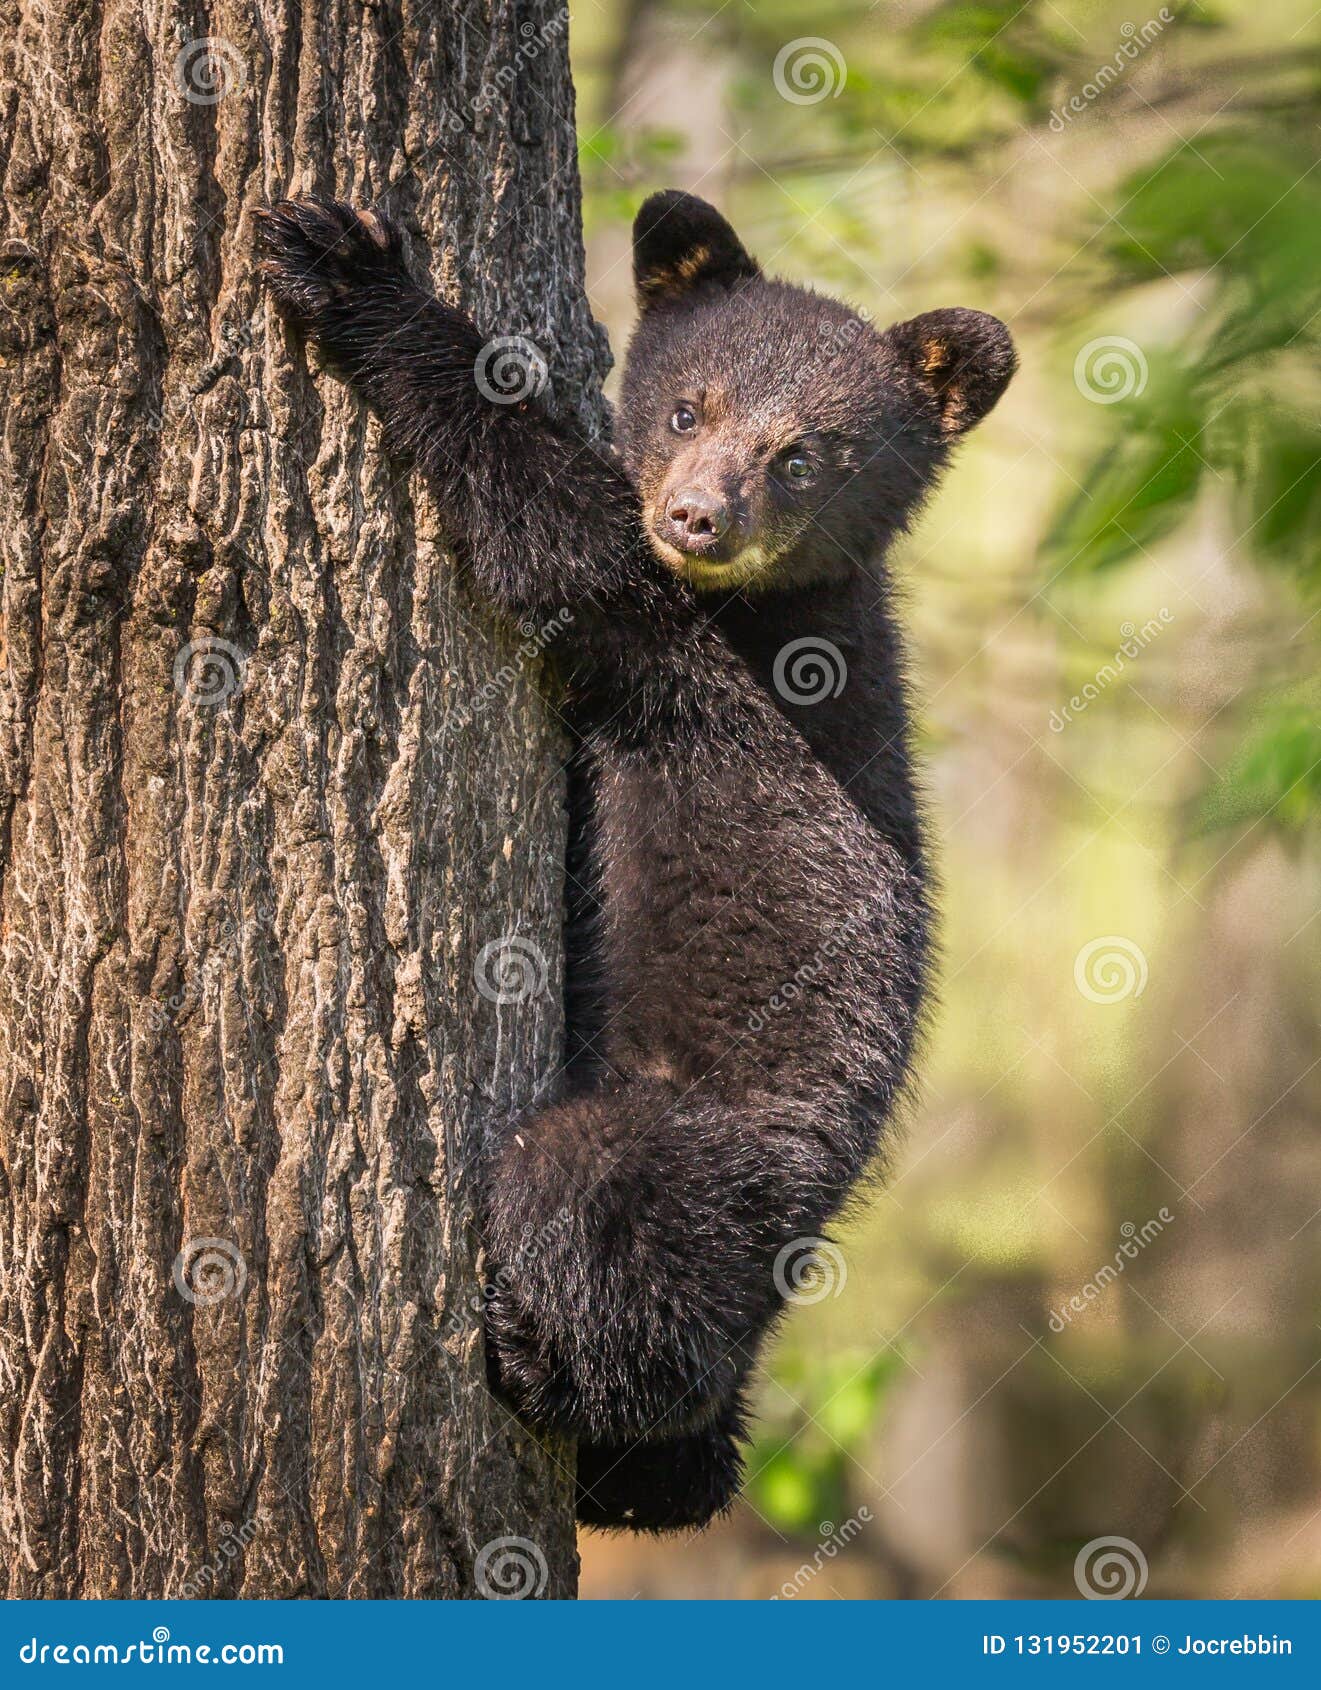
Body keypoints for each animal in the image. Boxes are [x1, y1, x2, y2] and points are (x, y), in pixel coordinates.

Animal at [257, 189, 1016, 1532]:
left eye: (802, 454)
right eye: (685, 407)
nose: (697, 516)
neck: (761, 599)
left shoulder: (712, 658)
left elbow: (553, 534)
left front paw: (353, 274)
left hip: (686, 1154)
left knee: (589, 1217)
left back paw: (545, 1365)